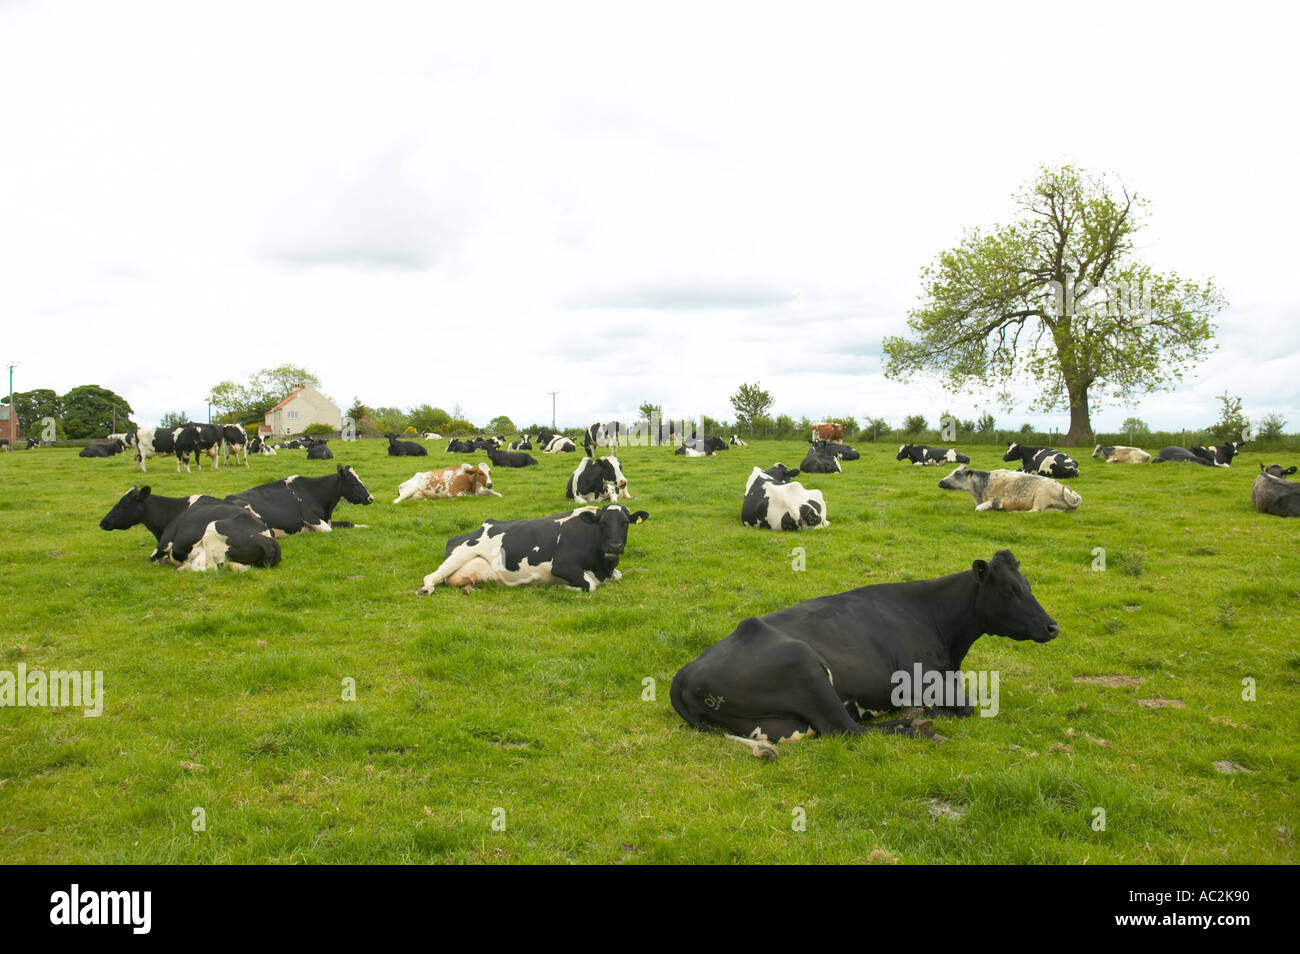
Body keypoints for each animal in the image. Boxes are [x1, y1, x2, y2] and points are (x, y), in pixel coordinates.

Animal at [226, 465, 374, 535]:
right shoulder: (310, 518)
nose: (370, 498)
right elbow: (328, 530)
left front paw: (365, 526)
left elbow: (348, 523)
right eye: (353, 482)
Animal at [416, 505, 650, 594]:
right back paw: (426, 589)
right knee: (431, 577)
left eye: (625, 523)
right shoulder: (562, 566)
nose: (615, 546)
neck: (602, 567)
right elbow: (589, 585)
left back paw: (469, 588)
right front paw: (561, 587)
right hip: (461, 553)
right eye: (602, 523)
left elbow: (618, 575)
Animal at [669, 549, 1057, 757]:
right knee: (848, 729)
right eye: (1009, 590)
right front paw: (922, 712)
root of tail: (684, 671)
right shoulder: (925, 681)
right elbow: (966, 708)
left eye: (1028, 586)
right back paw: (917, 726)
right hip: (805, 668)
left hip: (781, 723)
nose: (1053, 626)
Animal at [939, 464, 1081, 512]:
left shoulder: (995, 500)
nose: (940, 482)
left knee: (1035, 511)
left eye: (957, 473)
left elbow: (978, 508)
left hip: (1041, 494)